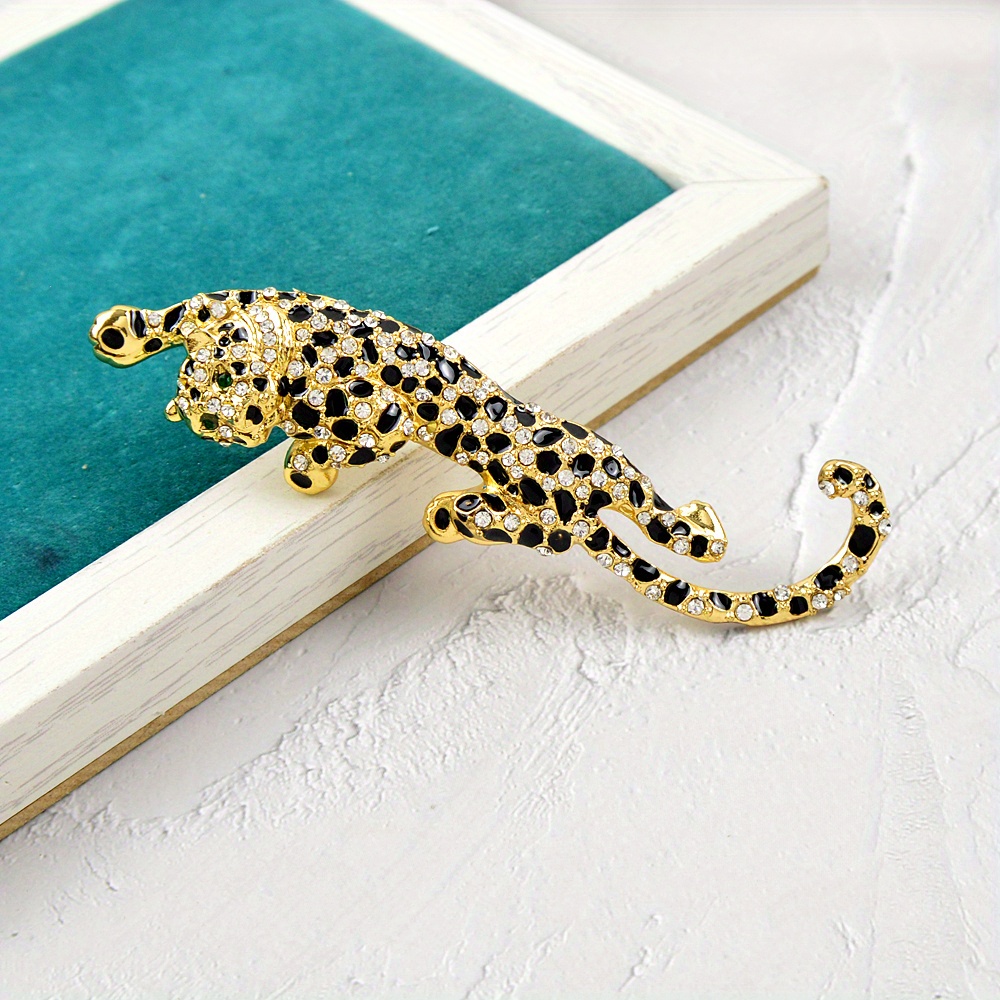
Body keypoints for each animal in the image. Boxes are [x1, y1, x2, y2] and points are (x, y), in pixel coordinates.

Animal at [90, 287, 891, 626]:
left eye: (223, 393)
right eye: (189, 392)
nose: (198, 421)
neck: (296, 345)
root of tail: (593, 501)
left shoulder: (376, 415)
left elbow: (345, 443)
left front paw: (306, 463)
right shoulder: (244, 295)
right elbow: (185, 308)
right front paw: (121, 330)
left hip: (566, 495)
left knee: (664, 534)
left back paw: (451, 509)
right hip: (587, 506)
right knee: (681, 535)